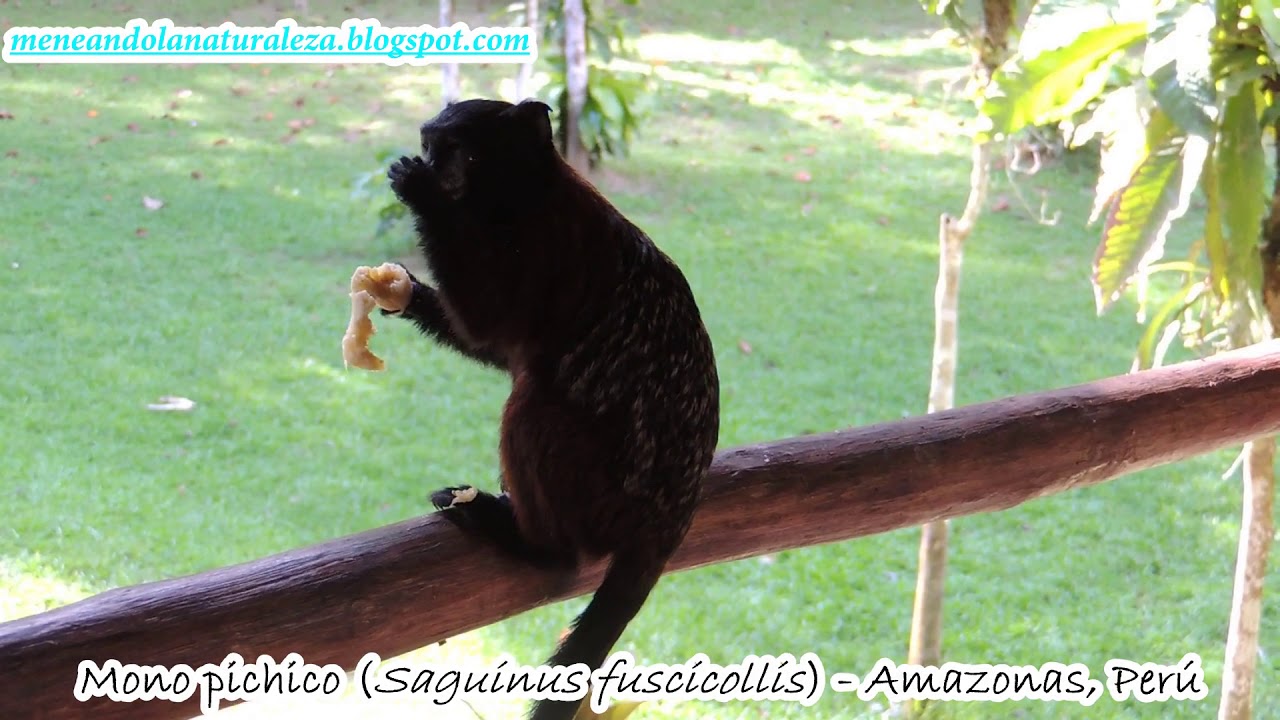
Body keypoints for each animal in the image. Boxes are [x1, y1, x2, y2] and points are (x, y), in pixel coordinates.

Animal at [369, 97, 720, 720]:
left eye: (460, 150)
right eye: (434, 142)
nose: (434, 161)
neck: (515, 201)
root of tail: (668, 515)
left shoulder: (549, 246)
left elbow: (488, 323)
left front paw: (421, 195)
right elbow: (491, 345)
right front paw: (402, 290)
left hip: (607, 490)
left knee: (534, 405)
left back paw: (536, 545)